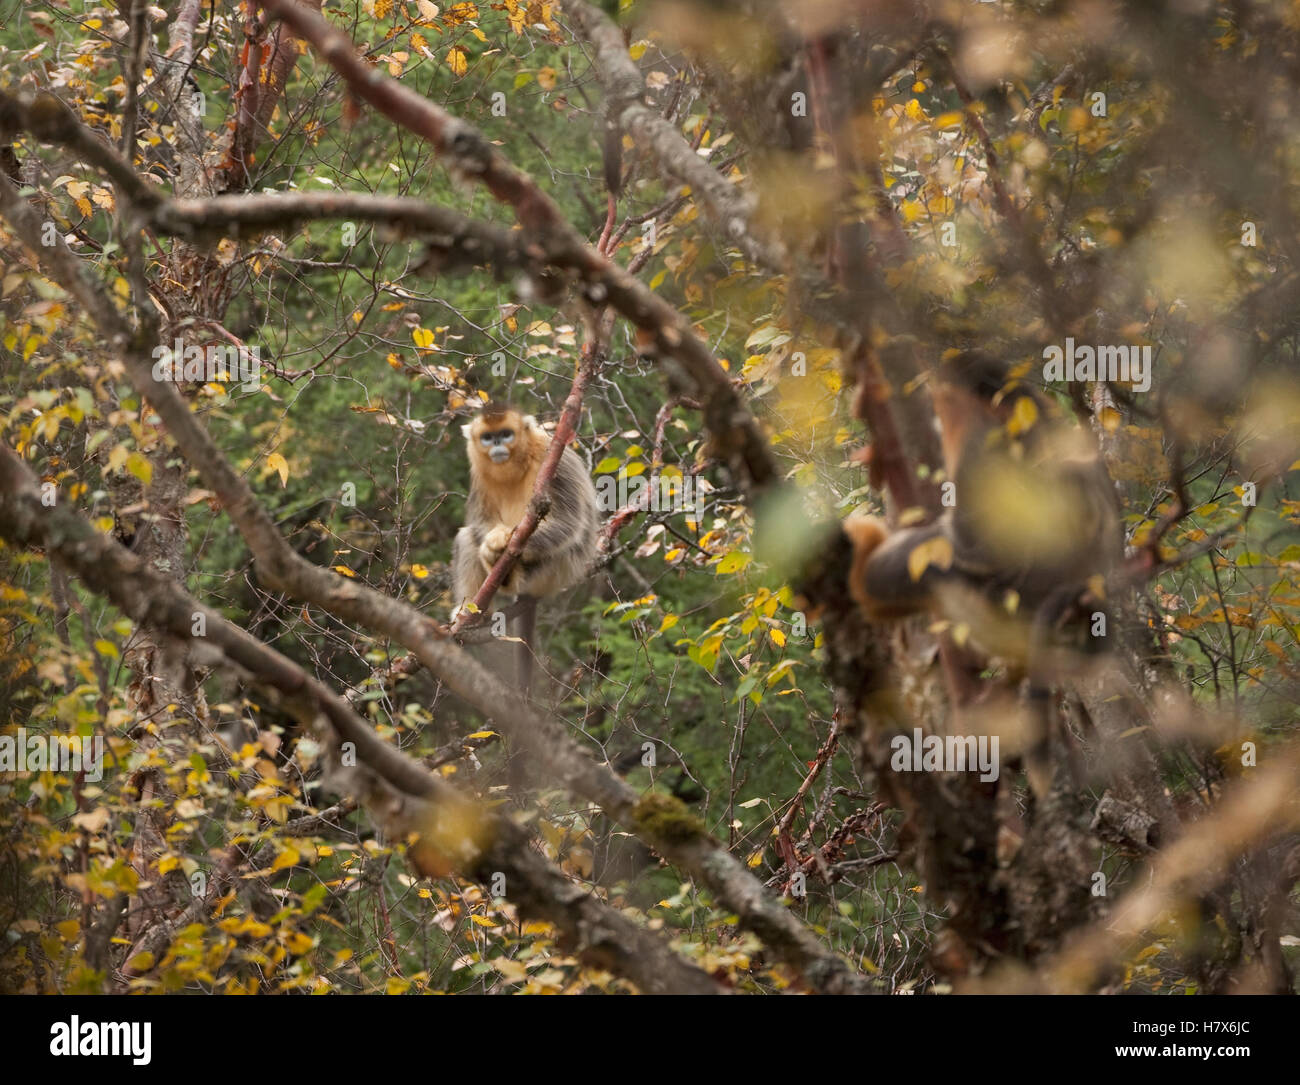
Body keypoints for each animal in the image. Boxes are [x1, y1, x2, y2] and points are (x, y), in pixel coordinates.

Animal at [452, 404, 599, 696]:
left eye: (506, 434)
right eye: (488, 437)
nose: (497, 444)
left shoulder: (552, 455)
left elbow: (568, 522)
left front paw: (503, 544)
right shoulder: (478, 474)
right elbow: (479, 522)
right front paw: (492, 544)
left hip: (552, 572)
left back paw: (510, 575)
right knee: (467, 537)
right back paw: (472, 614)